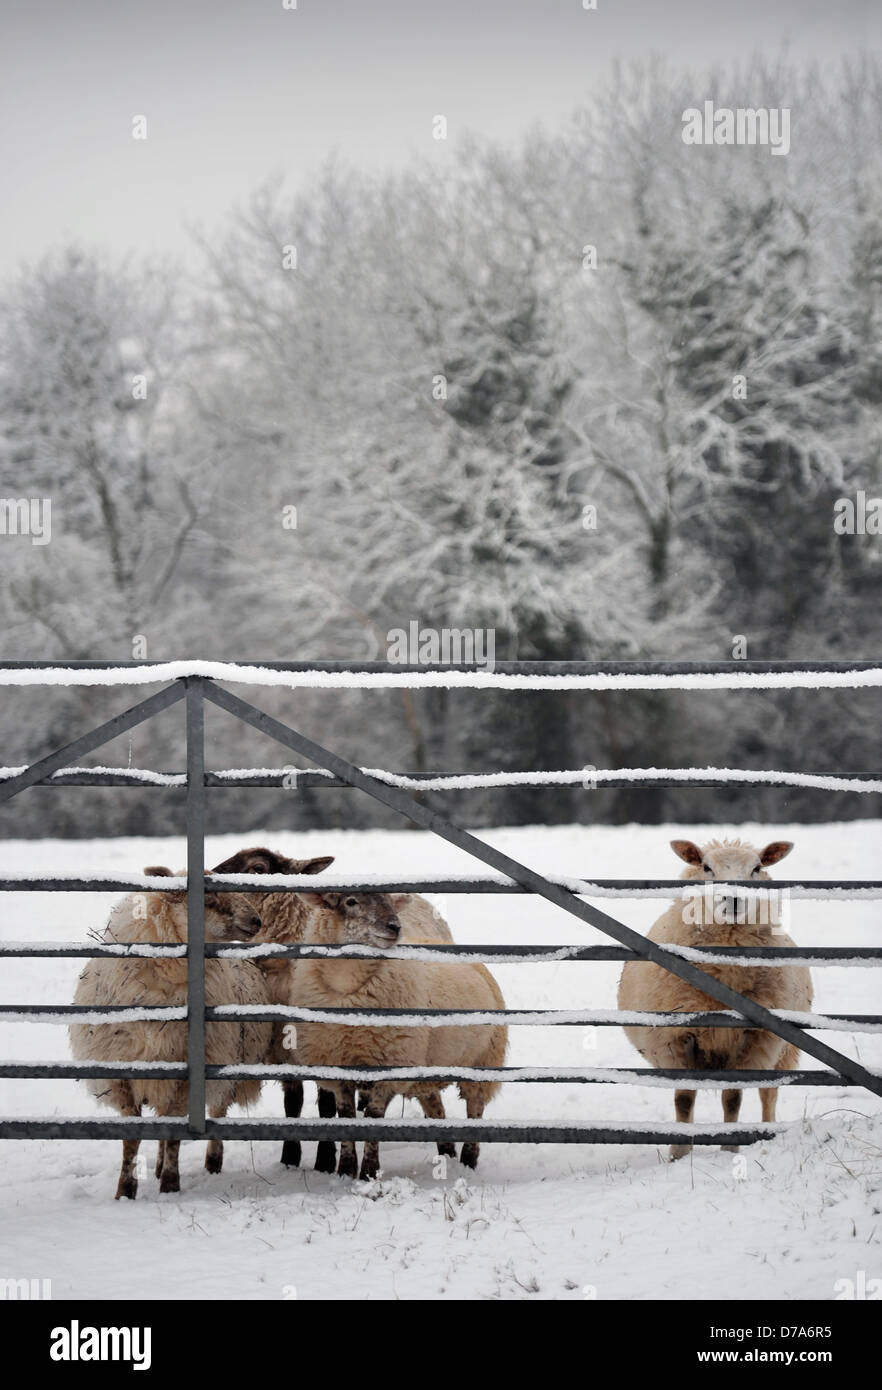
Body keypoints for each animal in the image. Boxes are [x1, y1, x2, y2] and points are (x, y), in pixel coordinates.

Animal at [69, 868, 271, 1199]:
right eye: (209, 896)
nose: (257, 921)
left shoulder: (187, 1075)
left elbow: (175, 1135)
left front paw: (170, 1184)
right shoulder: (122, 1075)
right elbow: (132, 1138)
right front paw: (125, 1190)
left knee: (216, 1112)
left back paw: (211, 1161)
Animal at [291, 889, 507, 1181]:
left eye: (389, 902)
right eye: (351, 901)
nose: (395, 927)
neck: (347, 987)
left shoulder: (388, 1069)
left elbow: (373, 1118)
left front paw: (368, 1173)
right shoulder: (338, 1068)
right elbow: (346, 1116)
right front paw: (345, 1171)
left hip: (483, 1062)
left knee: (475, 1110)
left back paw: (468, 1161)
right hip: (428, 1068)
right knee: (435, 1108)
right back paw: (447, 1155)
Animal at [617, 837, 812, 1159]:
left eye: (757, 868)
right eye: (707, 867)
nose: (732, 899)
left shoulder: (752, 1040)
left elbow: (732, 1098)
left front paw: (728, 1148)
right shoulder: (677, 1038)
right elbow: (684, 1099)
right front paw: (679, 1153)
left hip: (784, 1050)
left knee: (769, 1094)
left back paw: (767, 1131)